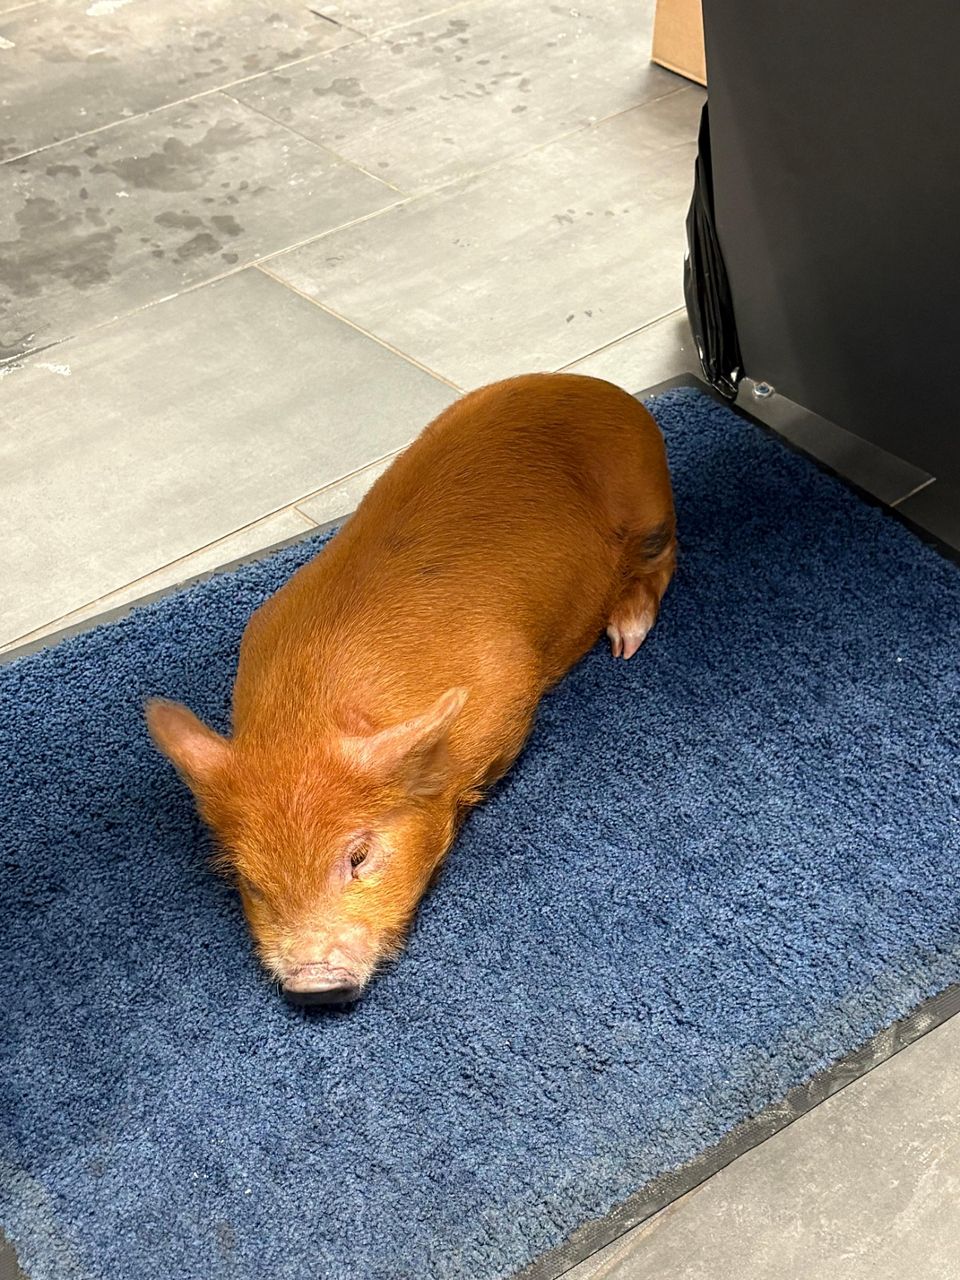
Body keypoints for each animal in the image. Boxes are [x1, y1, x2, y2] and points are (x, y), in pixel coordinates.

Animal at [146, 373, 675, 1005]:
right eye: (249, 880)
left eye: (358, 855)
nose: (315, 985)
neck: (309, 711)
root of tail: (600, 391)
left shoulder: (508, 681)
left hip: (649, 500)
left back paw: (626, 637)